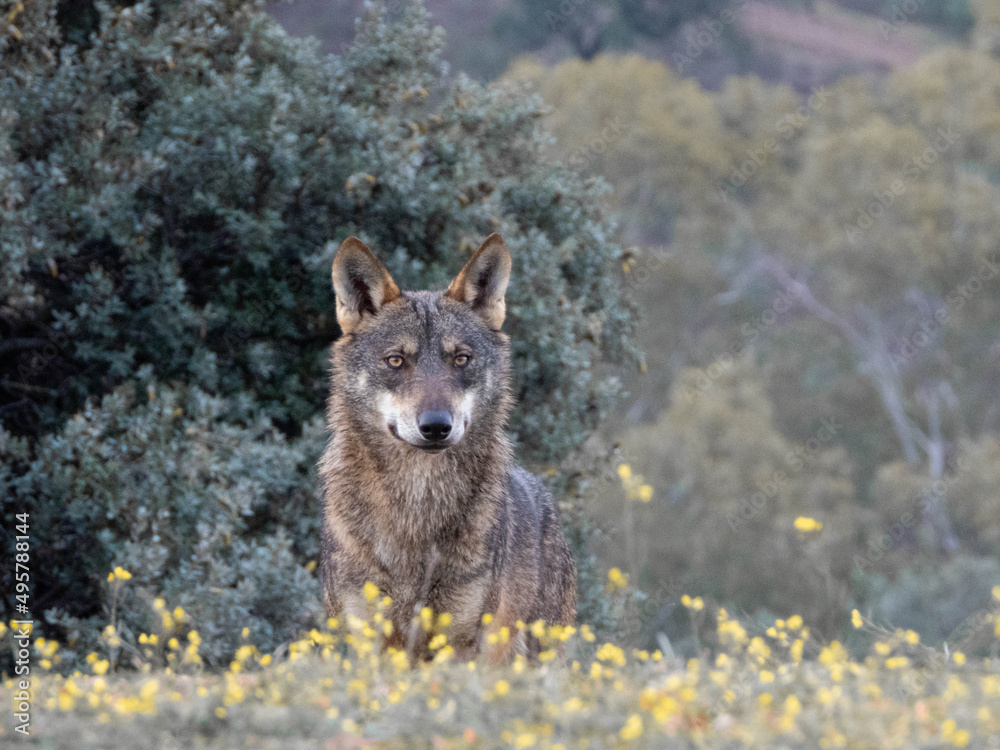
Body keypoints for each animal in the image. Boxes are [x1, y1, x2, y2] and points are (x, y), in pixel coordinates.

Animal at [318, 233, 576, 662]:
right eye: (396, 361)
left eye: (461, 359)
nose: (437, 426)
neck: (416, 512)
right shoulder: (366, 639)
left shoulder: (457, 639)